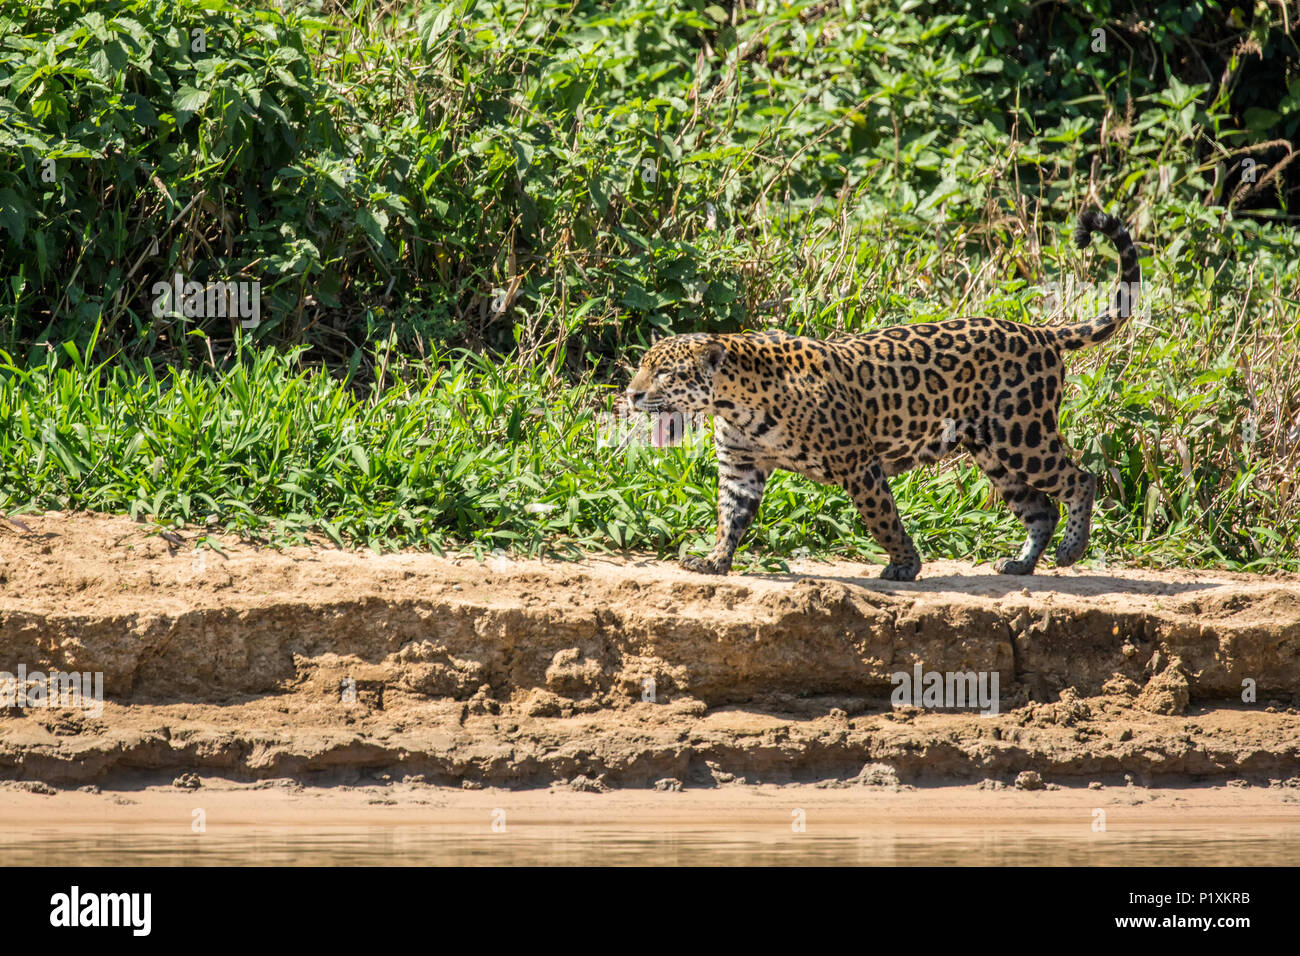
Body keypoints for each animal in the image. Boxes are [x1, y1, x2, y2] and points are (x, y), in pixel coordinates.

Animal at [624, 209, 1141, 581]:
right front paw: (713, 561)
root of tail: (1041, 332)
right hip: (992, 450)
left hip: (1023, 436)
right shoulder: (741, 468)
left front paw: (904, 566)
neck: (736, 403)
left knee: (1081, 478)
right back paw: (1022, 563)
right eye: (643, 366)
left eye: (664, 373)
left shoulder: (859, 464)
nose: (630, 395)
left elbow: (883, 518)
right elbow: (729, 518)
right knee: (1039, 508)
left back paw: (1071, 550)